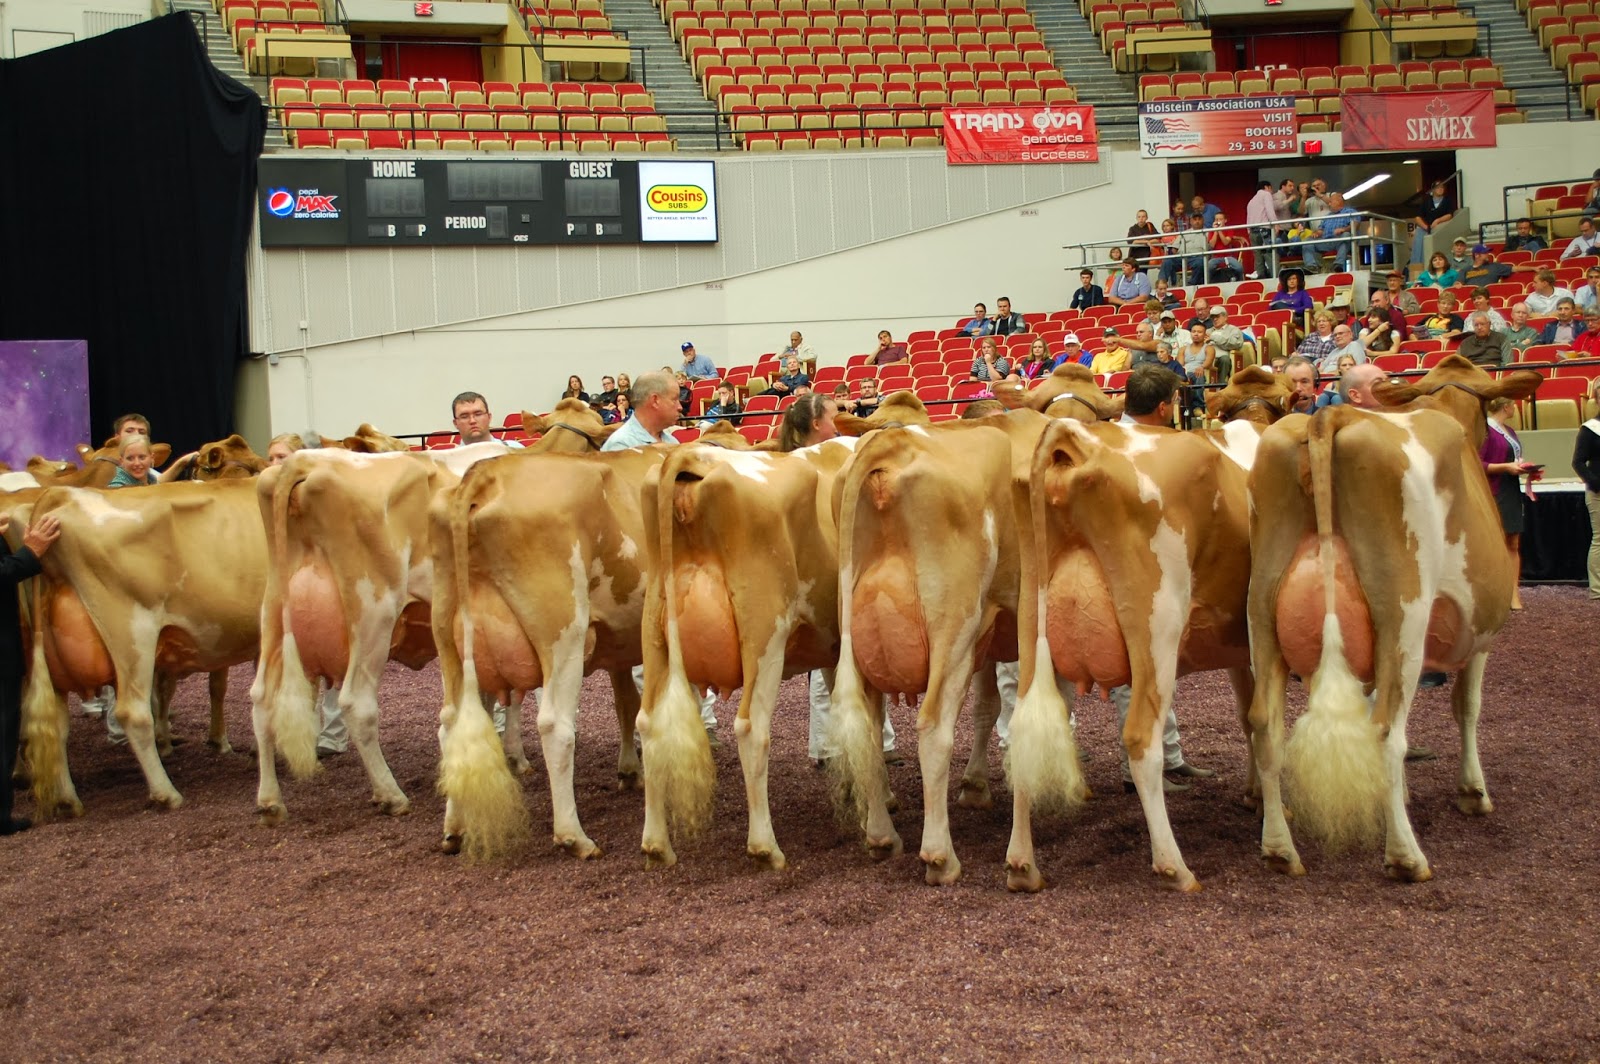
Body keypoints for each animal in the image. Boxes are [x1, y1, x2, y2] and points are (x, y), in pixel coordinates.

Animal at [430, 445, 667, 861]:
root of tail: (485, 473)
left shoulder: (621, 643)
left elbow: (627, 703)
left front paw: (630, 771)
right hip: (563, 632)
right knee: (555, 725)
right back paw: (575, 836)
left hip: (448, 639)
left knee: (450, 725)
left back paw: (453, 830)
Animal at [634, 437, 859, 869]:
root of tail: (695, 456)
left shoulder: (833, 650)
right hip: (765, 634)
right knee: (752, 728)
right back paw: (765, 846)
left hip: (653, 633)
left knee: (649, 723)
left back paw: (656, 845)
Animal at [1244, 354, 1541, 881]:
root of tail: (1331, 416)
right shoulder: (1481, 637)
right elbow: (1468, 707)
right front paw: (1473, 792)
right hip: (1403, 616)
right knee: (1386, 729)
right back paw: (1405, 856)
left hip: (1262, 609)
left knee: (1266, 724)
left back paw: (1280, 849)